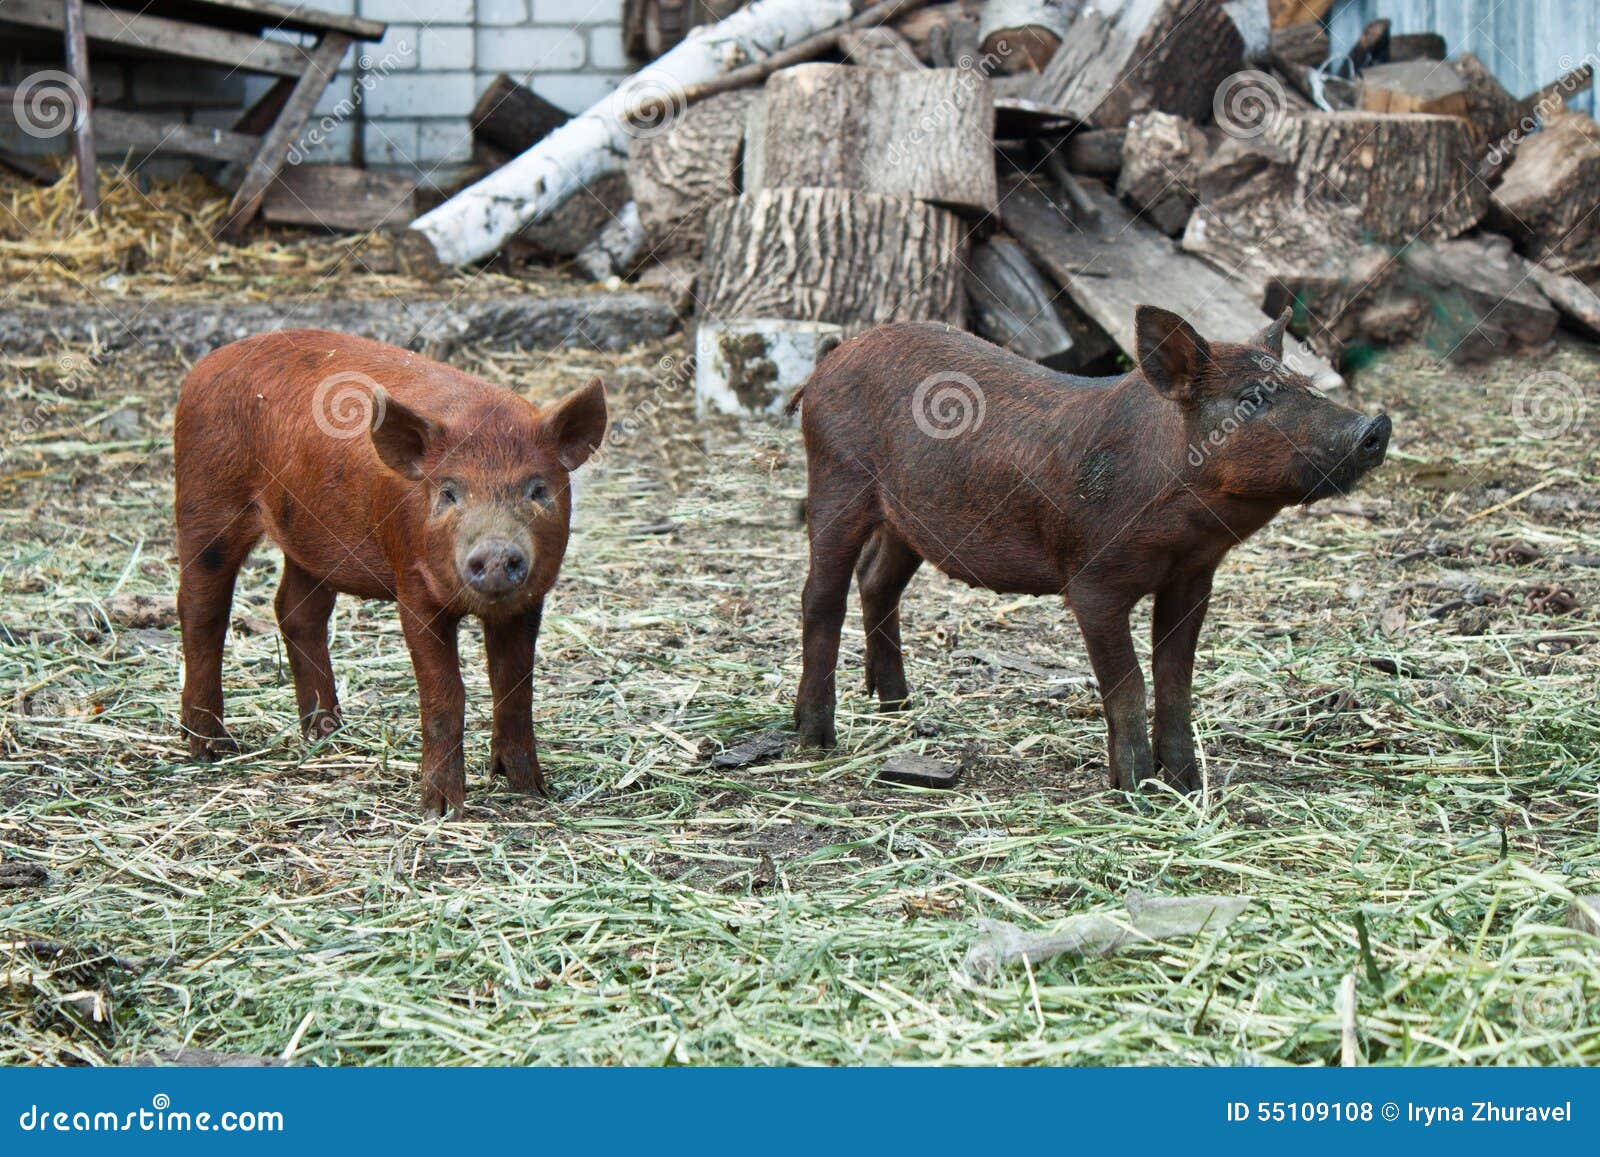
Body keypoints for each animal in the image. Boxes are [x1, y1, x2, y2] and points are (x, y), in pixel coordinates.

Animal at [173, 330, 607, 816]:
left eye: (537, 489)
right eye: (448, 492)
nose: (496, 552)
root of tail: (208, 364)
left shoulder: (529, 601)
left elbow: (514, 685)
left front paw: (531, 790)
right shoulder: (413, 586)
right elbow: (445, 692)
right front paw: (441, 810)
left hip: (310, 540)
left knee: (295, 611)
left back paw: (329, 733)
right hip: (205, 499)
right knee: (201, 610)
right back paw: (211, 747)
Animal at [790, 306, 1390, 791]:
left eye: (1303, 382)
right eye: (1251, 399)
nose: (1376, 424)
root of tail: (832, 359)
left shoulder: (1193, 578)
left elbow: (1176, 676)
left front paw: (1187, 786)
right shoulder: (1093, 582)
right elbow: (1128, 681)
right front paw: (1135, 790)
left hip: (907, 519)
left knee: (877, 580)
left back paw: (898, 703)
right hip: (837, 478)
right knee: (820, 596)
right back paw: (816, 739)